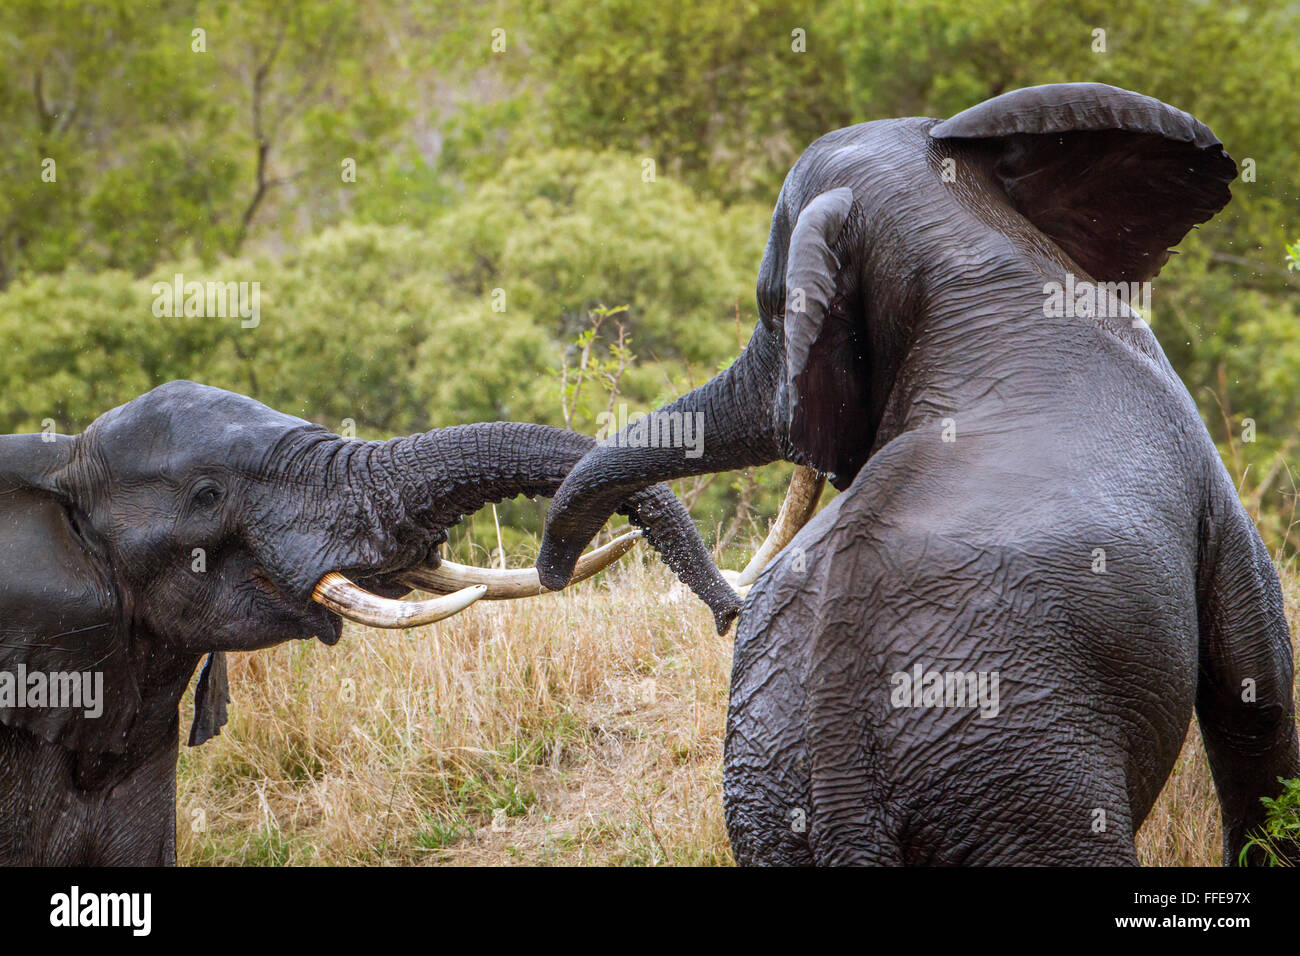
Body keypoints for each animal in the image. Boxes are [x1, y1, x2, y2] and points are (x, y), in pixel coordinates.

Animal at [536, 83, 1300, 865]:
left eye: (771, 310)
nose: (552, 570)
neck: (967, 245)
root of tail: (841, 764)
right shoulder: (1202, 472)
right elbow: (1254, 689)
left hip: (769, 785)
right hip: (1020, 773)